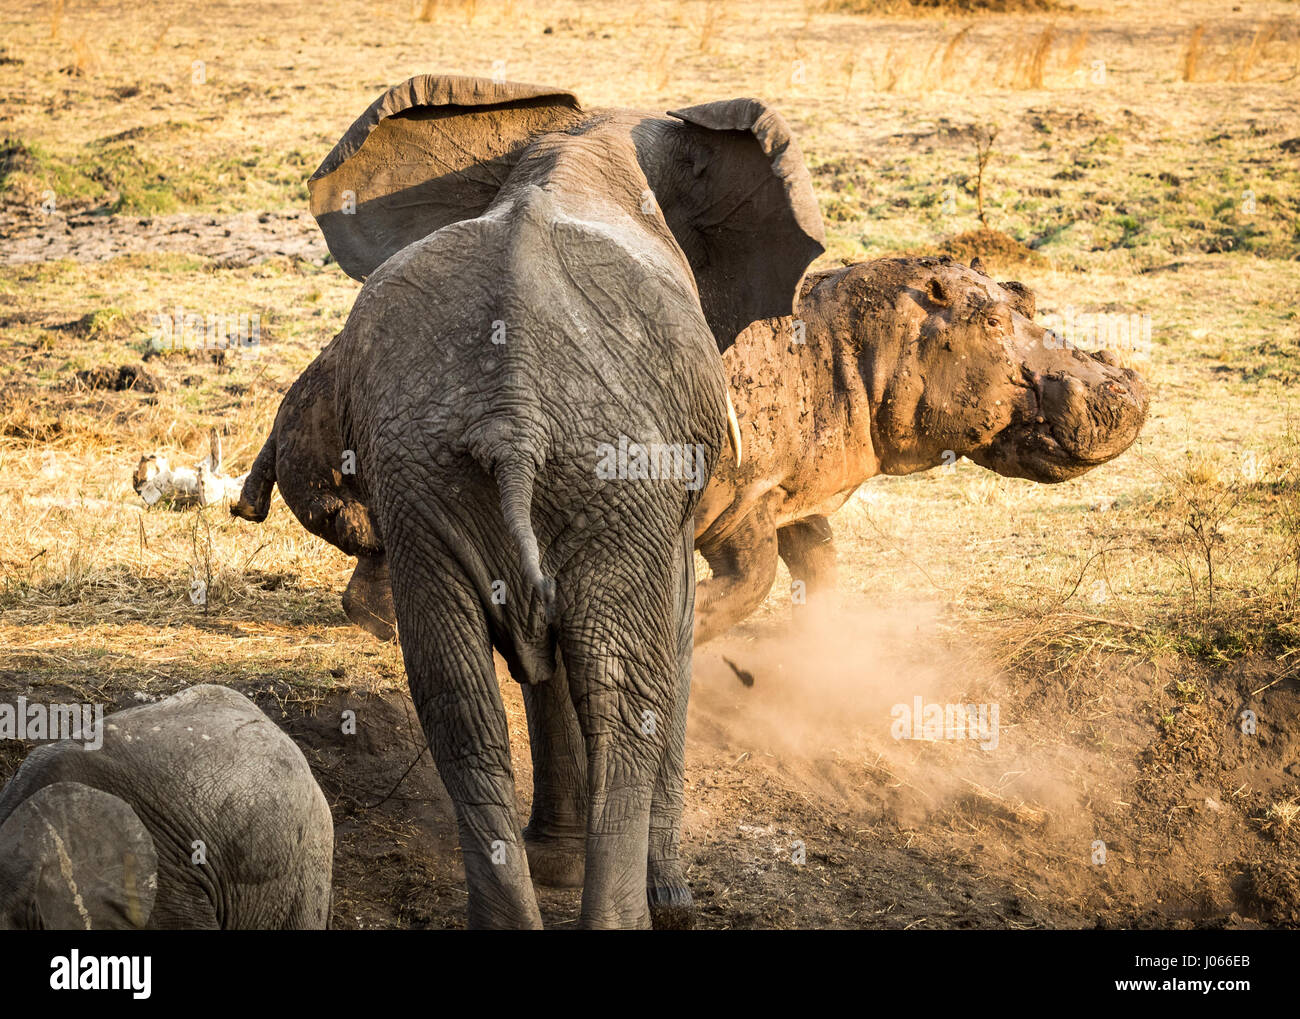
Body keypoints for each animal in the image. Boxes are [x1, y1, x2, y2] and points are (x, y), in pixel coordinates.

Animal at [237, 75, 816, 925]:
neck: (575, 139)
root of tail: (514, 417)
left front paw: (556, 859)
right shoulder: (663, 488)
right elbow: (668, 633)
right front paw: (671, 895)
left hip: (431, 479)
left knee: (460, 699)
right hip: (609, 476)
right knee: (623, 690)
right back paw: (631, 913)